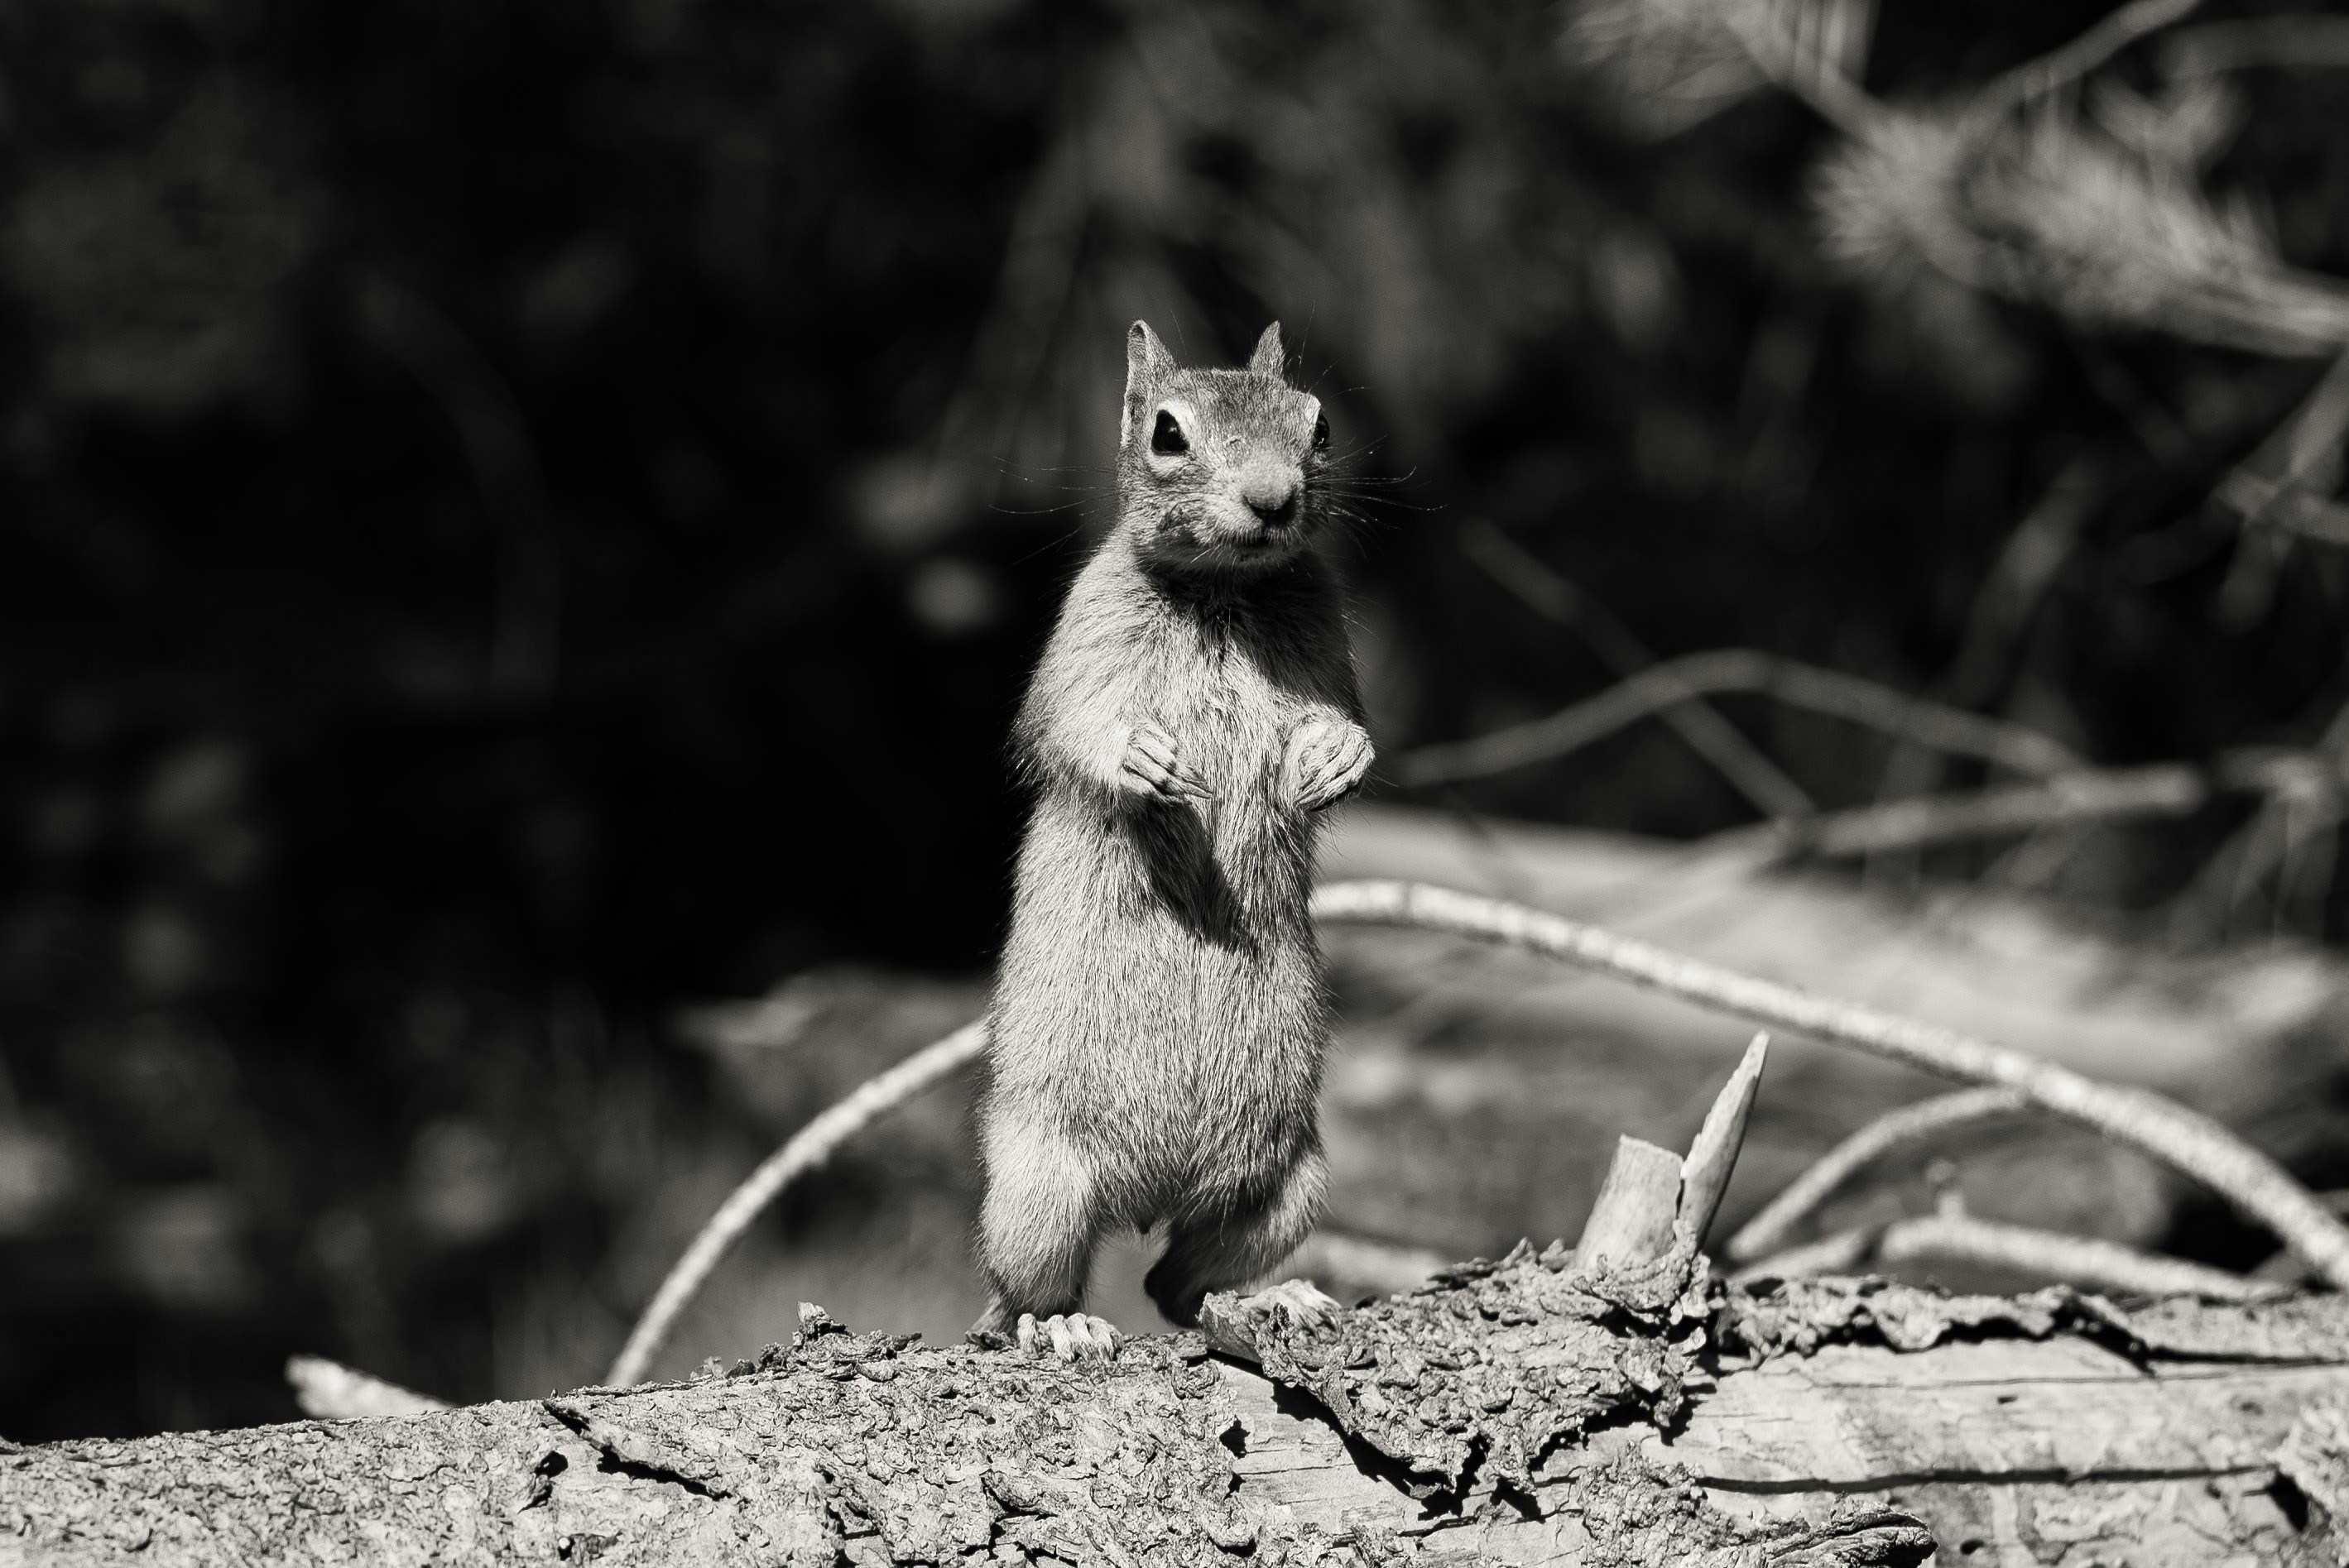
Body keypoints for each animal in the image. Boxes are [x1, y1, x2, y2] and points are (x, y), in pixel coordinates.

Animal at [970, 320, 1372, 1360]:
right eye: (1165, 432)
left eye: (1318, 424)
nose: (1272, 499)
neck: (1223, 593)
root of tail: (1147, 1194)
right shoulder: (1082, 644)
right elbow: (1072, 728)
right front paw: (1143, 758)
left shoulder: (1328, 645)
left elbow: (1349, 724)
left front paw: (1337, 756)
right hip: (1040, 1183)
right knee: (1027, 1288)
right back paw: (1058, 1322)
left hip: (1286, 1184)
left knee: (1175, 1282)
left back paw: (1267, 1299)